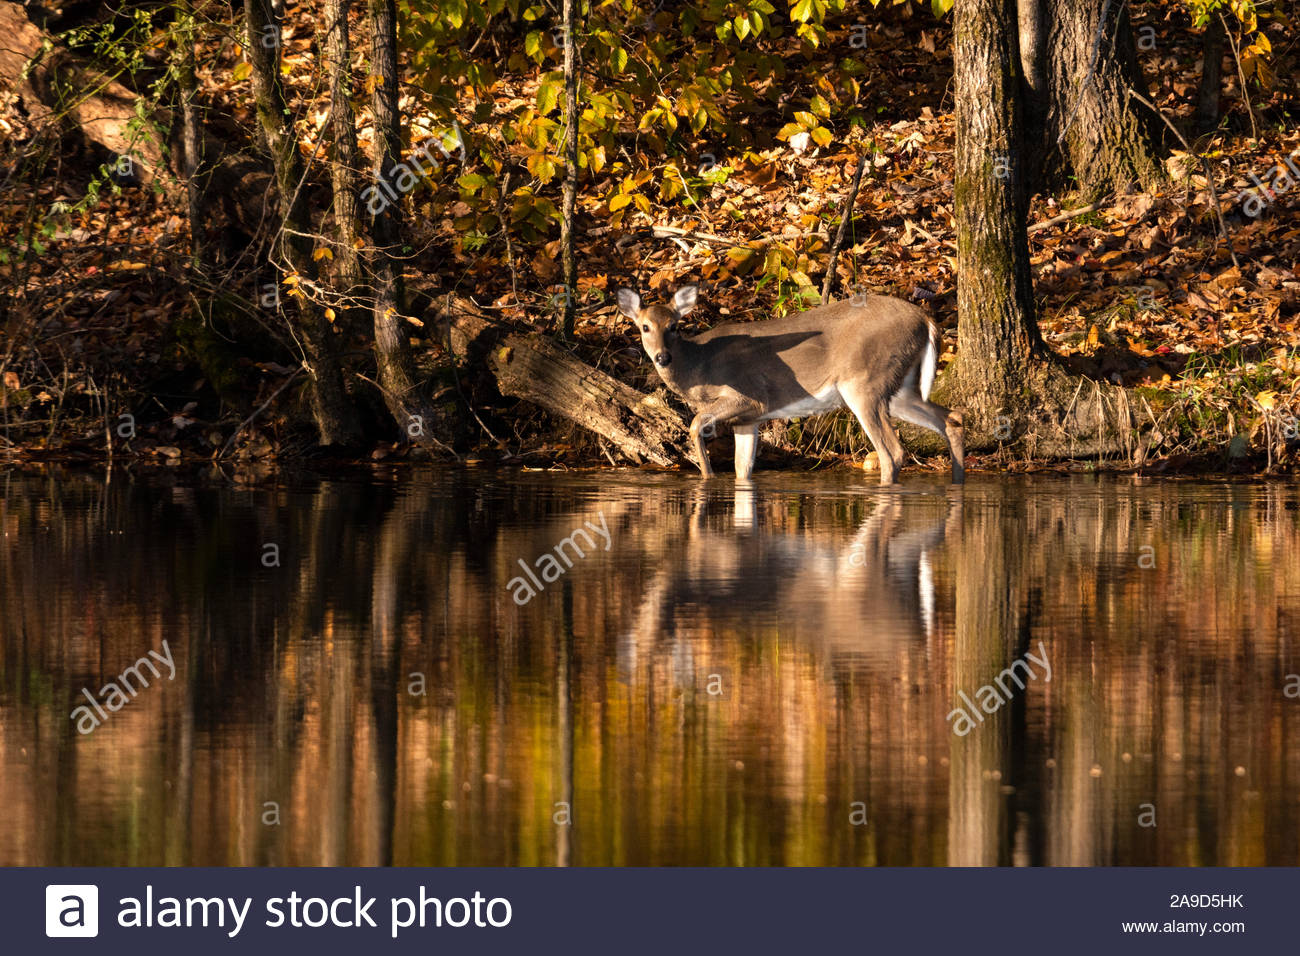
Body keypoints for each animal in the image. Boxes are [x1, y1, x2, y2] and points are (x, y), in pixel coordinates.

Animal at [616, 285, 965, 485]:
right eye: (644, 326)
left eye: (674, 326)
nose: (662, 356)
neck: (700, 366)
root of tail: (926, 320)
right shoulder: (748, 420)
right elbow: (743, 468)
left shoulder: (751, 397)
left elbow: (695, 423)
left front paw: (707, 476)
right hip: (900, 388)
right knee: (952, 419)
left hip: (864, 381)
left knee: (892, 452)